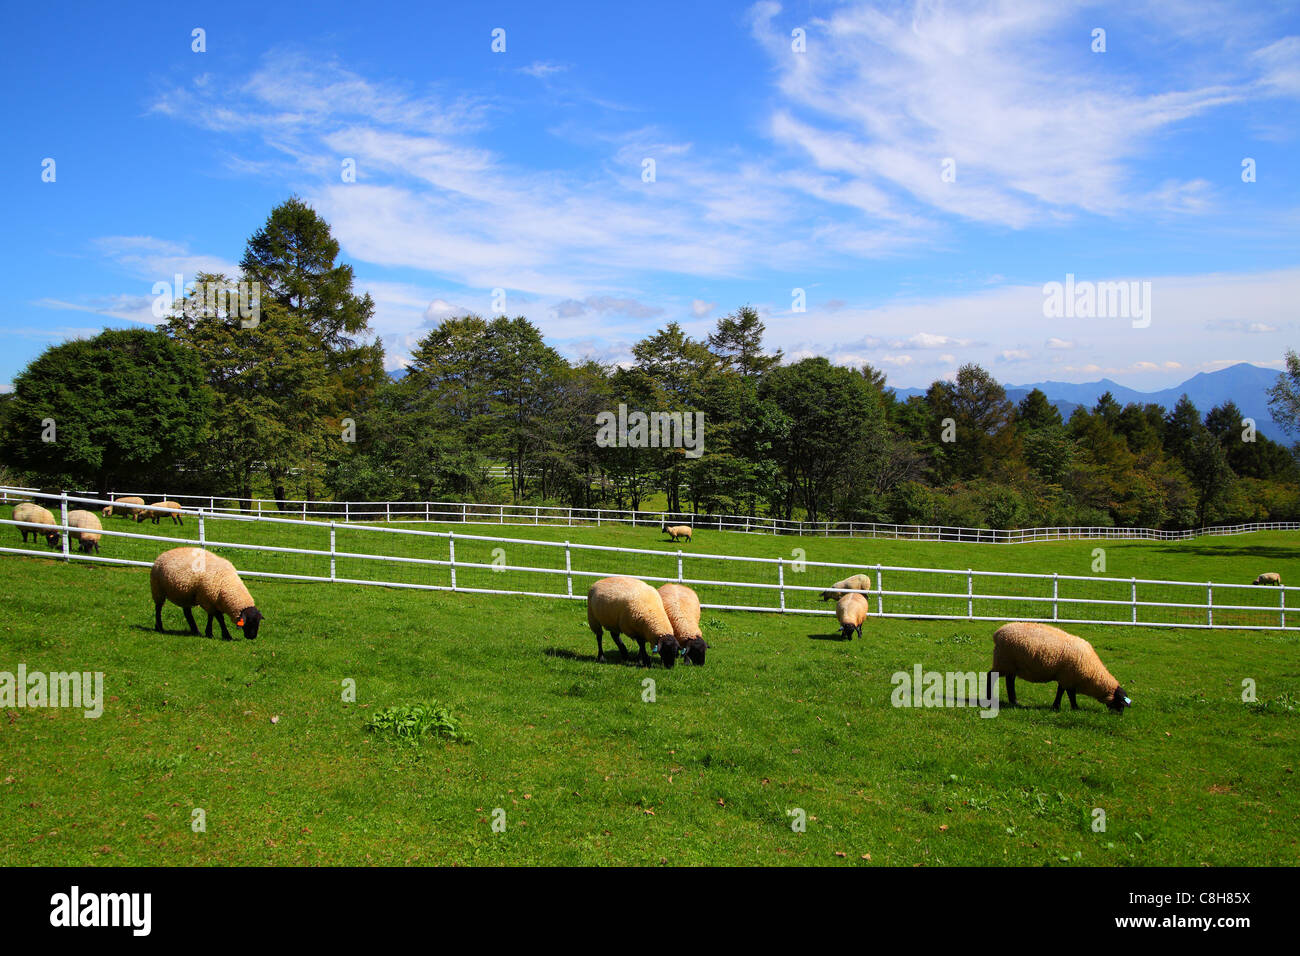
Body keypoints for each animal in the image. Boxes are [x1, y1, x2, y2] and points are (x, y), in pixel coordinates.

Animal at [986, 622, 1130, 713]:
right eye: (1120, 703)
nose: (1120, 715)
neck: (1092, 674)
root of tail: (998, 633)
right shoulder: (1068, 677)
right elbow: (1066, 693)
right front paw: (1067, 707)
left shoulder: (1067, 677)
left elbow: (1064, 692)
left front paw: (1064, 706)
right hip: (1003, 661)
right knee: (991, 676)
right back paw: (990, 699)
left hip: (1011, 665)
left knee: (1010, 681)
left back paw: (1014, 701)